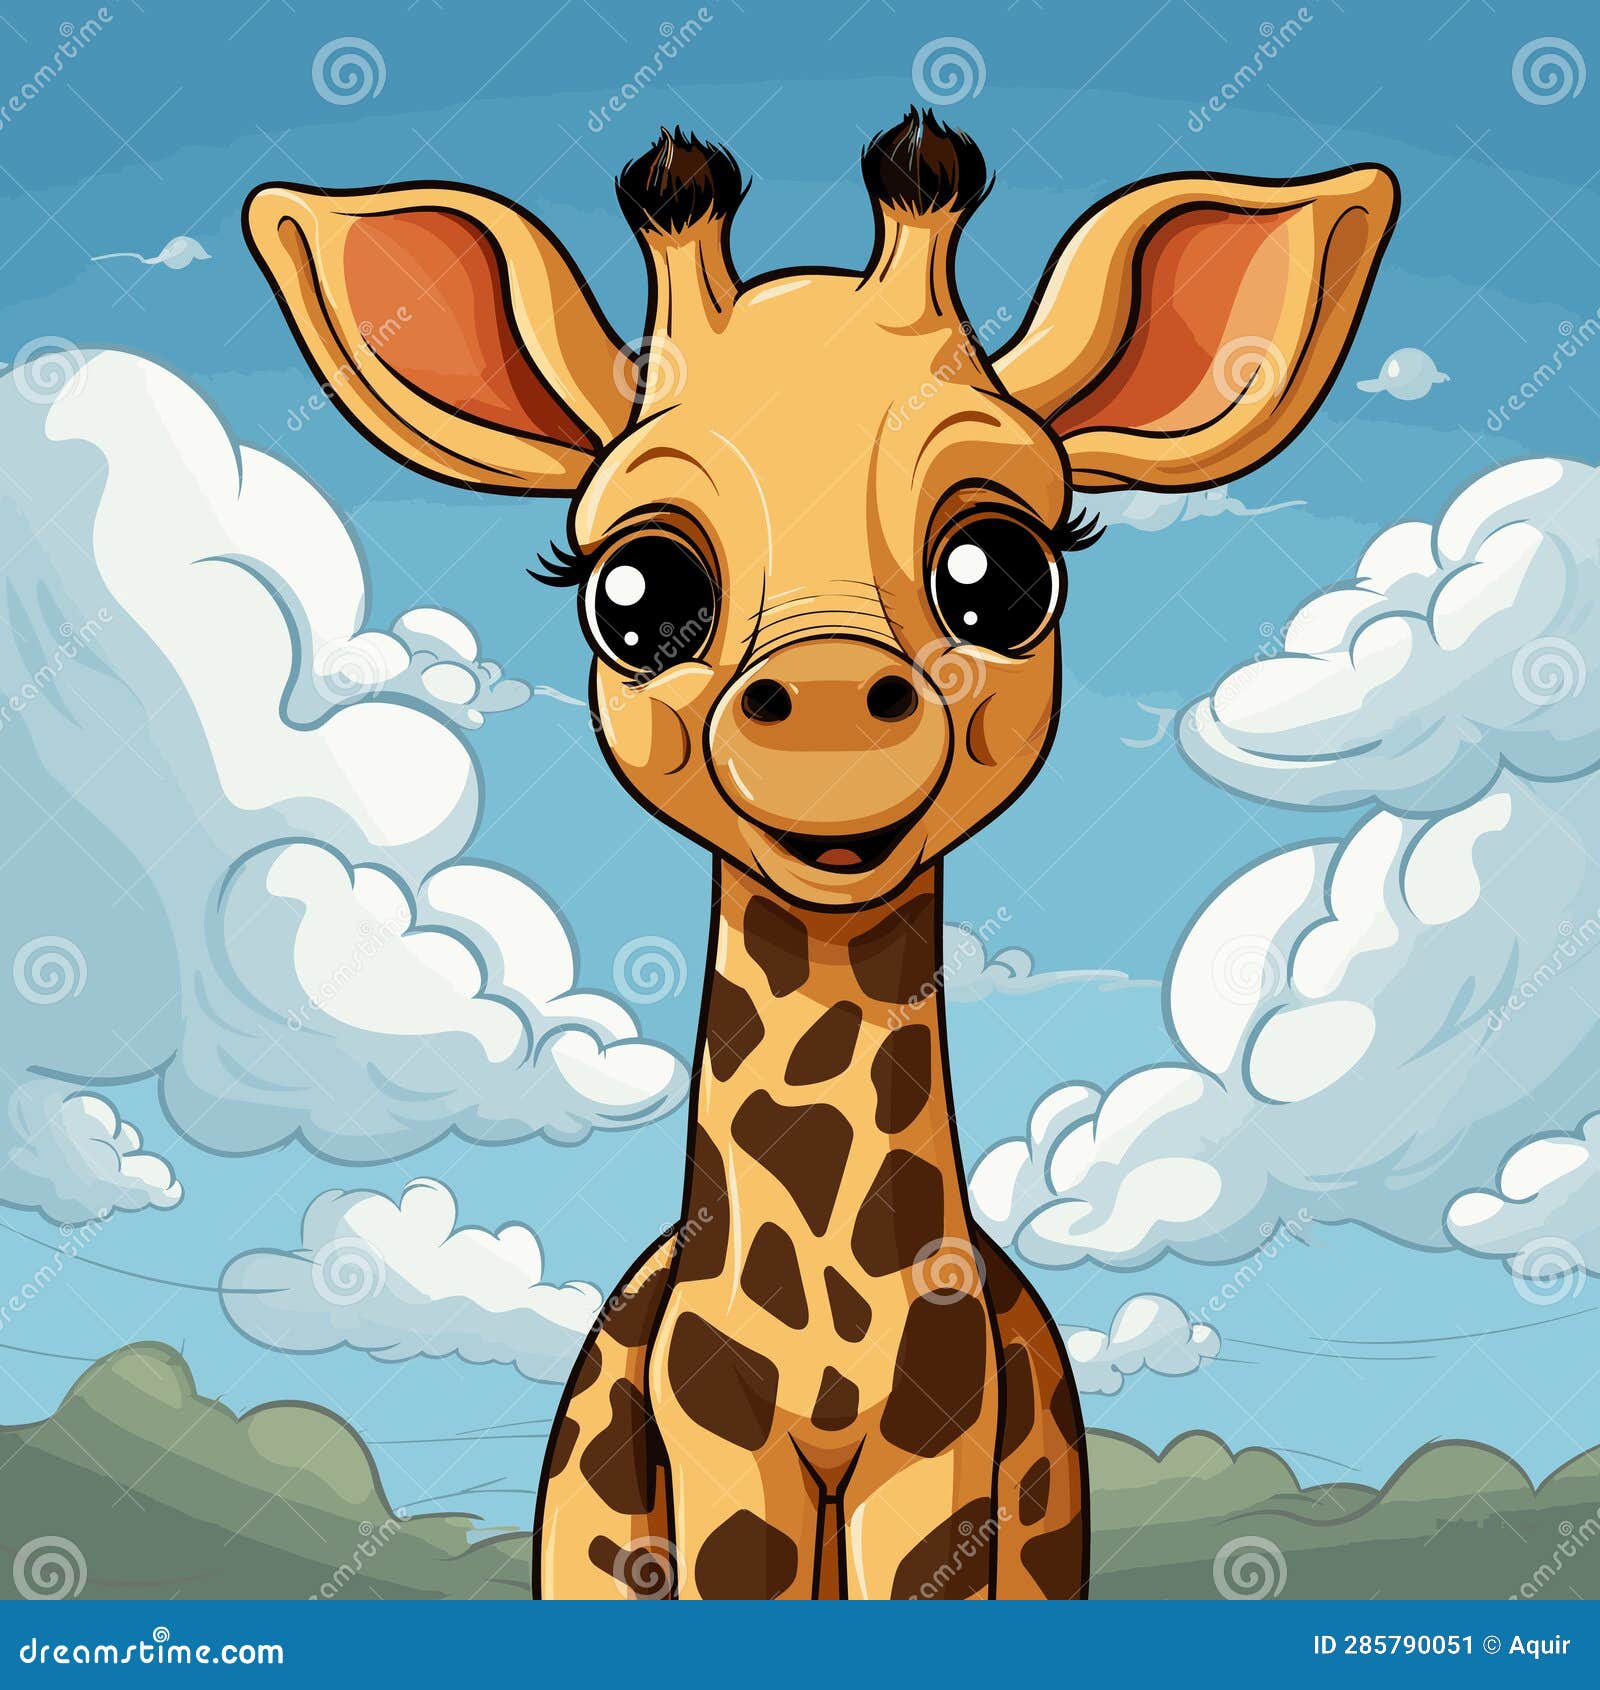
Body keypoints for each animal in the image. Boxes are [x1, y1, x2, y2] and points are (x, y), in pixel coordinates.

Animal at [244, 111, 1397, 1598]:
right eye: (637, 592)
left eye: (1001, 570)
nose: (837, 705)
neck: (830, 1361)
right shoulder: (724, 1458)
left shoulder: (940, 1459)